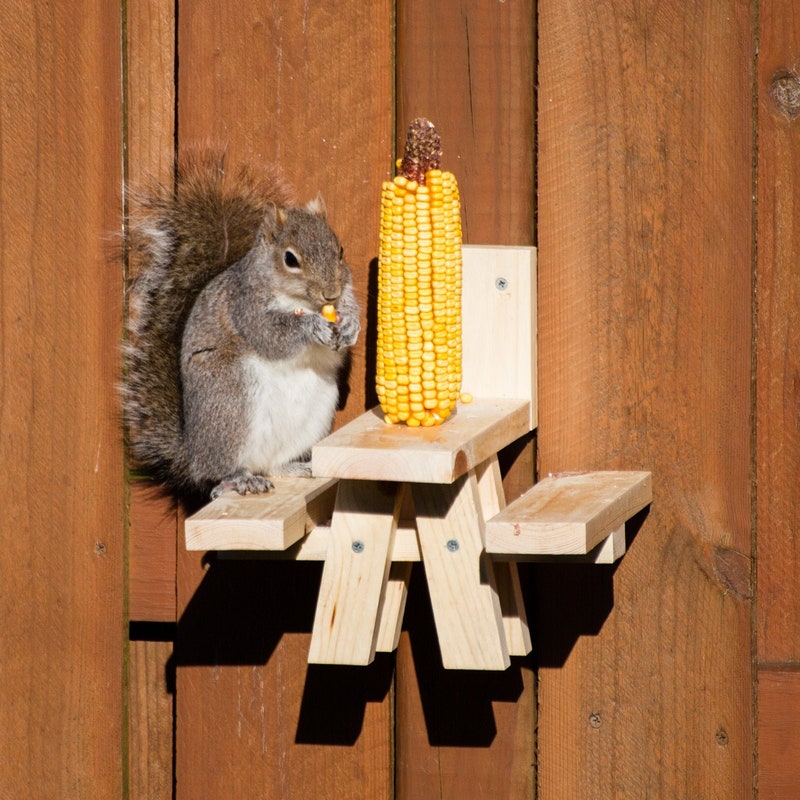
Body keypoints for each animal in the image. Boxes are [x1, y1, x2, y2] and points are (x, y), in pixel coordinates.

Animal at [123, 149, 360, 500]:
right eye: (290, 259)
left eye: (340, 249)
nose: (331, 291)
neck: (304, 303)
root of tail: (192, 455)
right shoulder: (245, 308)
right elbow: (271, 335)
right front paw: (311, 328)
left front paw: (350, 327)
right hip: (232, 400)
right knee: (219, 473)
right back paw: (238, 478)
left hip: (315, 414)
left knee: (274, 464)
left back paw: (295, 468)